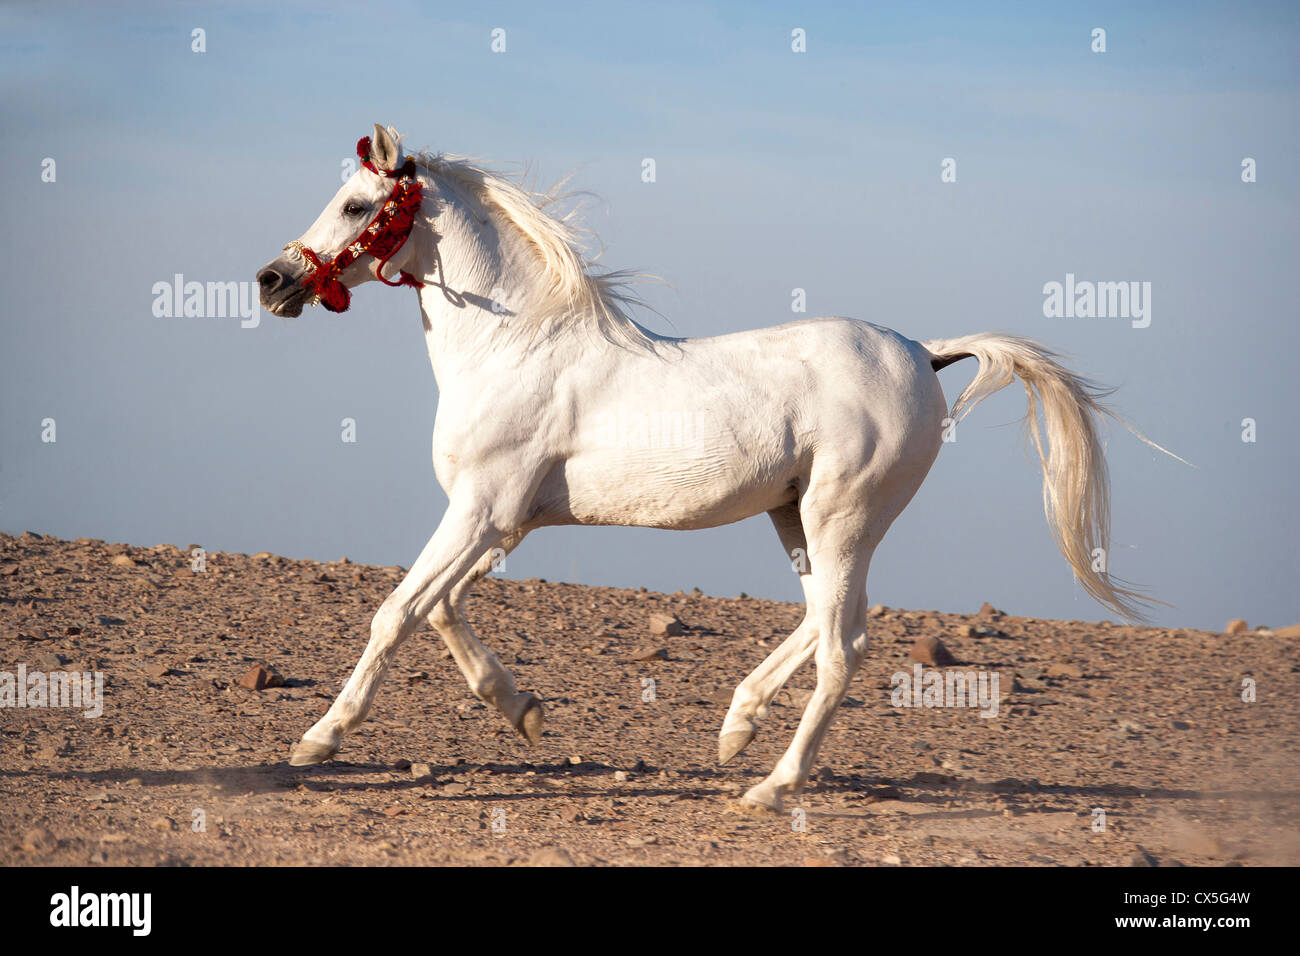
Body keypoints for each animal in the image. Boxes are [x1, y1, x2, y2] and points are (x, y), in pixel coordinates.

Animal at [257, 124, 1169, 812]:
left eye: (356, 204)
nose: (273, 280)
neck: (515, 347)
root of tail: (923, 351)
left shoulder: (482, 511)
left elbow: (397, 613)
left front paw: (317, 739)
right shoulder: (502, 523)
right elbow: (441, 610)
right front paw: (526, 714)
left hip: (842, 516)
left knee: (845, 643)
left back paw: (771, 785)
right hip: (796, 516)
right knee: (825, 619)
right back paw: (737, 725)